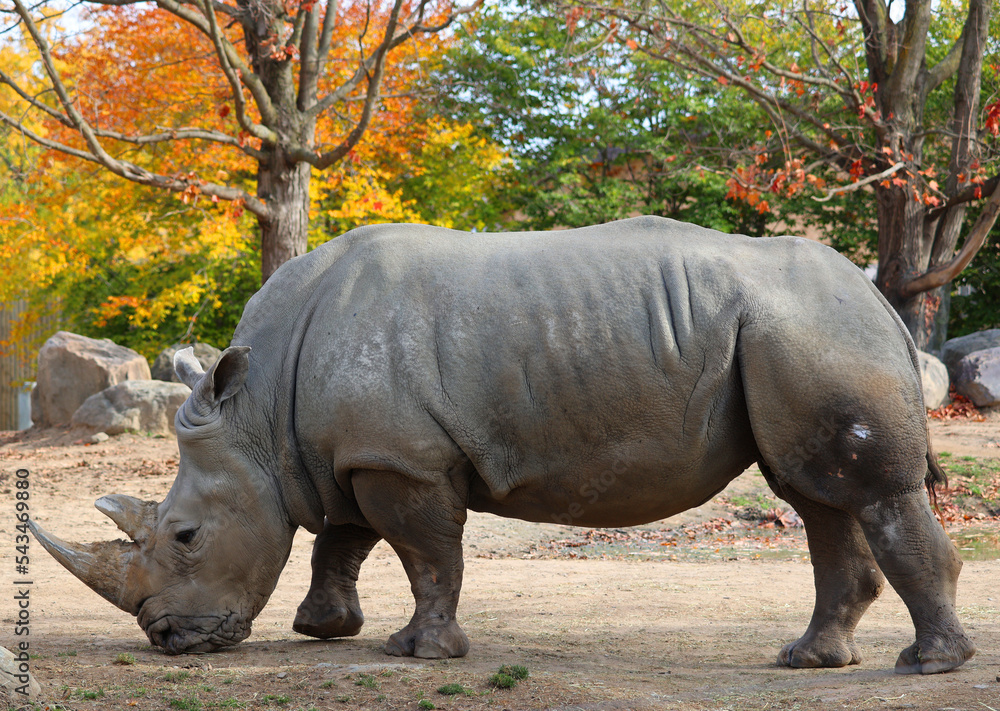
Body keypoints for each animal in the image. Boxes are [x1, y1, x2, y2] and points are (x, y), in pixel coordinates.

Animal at [32, 216, 974, 674]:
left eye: (185, 536)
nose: (165, 639)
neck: (257, 414)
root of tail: (876, 294)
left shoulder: (401, 457)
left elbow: (424, 555)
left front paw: (416, 652)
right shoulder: (356, 451)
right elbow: (341, 538)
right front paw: (322, 629)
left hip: (813, 330)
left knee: (861, 494)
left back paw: (924, 667)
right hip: (796, 335)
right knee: (817, 498)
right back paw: (809, 661)